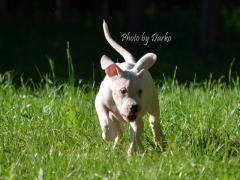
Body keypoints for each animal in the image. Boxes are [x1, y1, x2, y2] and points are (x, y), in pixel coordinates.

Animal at [94, 20, 166, 155]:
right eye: (123, 91)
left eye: (140, 91)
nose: (134, 107)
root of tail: (132, 63)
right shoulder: (100, 101)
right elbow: (105, 121)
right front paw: (108, 134)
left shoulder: (136, 118)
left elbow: (135, 136)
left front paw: (130, 155)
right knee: (120, 131)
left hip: (153, 106)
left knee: (153, 123)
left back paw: (159, 143)